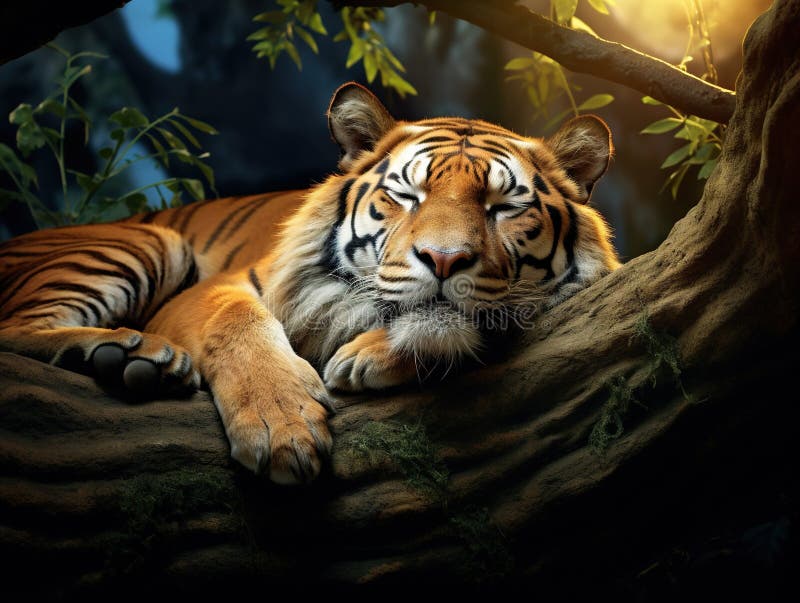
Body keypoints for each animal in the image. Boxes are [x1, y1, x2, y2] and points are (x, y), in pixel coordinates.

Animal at [0, 82, 620, 484]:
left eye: (504, 206)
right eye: (407, 195)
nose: (444, 259)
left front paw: (365, 358)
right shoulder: (215, 290)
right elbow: (238, 323)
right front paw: (282, 427)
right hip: (150, 243)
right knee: (13, 328)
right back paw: (131, 353)